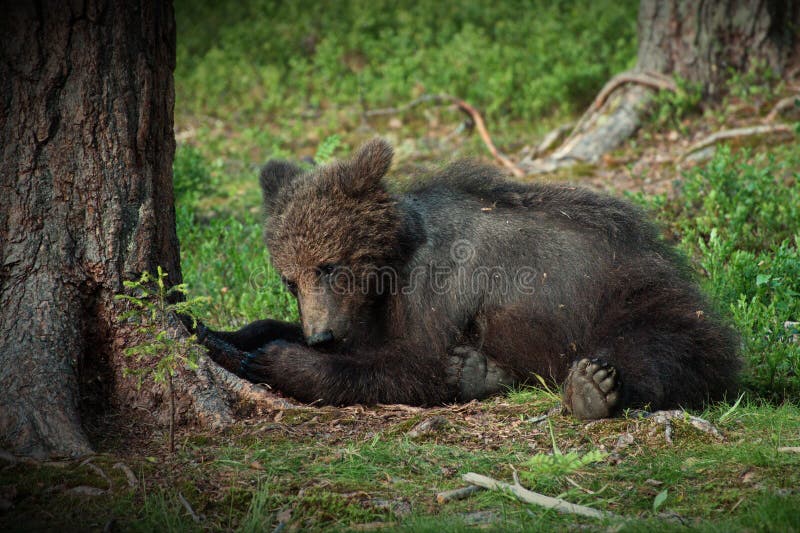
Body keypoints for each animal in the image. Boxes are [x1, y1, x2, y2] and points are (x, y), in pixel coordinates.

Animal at [200, 138, 740, 419]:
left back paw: (593, 387)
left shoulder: (434, 286)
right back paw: (480, 371)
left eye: (329, 266)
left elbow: (409, 365)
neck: (394, 265)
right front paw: (223, 331)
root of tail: (661, 254)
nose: (321, 335)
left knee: (665, 348)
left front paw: (277, 360)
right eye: (289, 280)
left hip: (628, 292)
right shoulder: (368, 312)